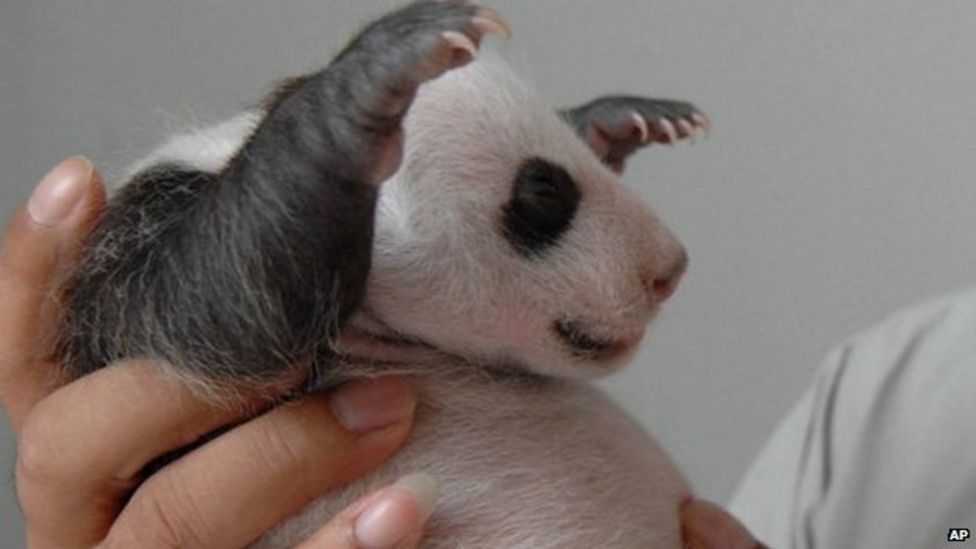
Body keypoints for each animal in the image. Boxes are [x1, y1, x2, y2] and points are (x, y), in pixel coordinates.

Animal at [57, 1, 710, 547]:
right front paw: (368, 74)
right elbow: (210, 299)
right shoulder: (126, 271)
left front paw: (620, 119)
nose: (670, 270)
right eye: (545, 190)